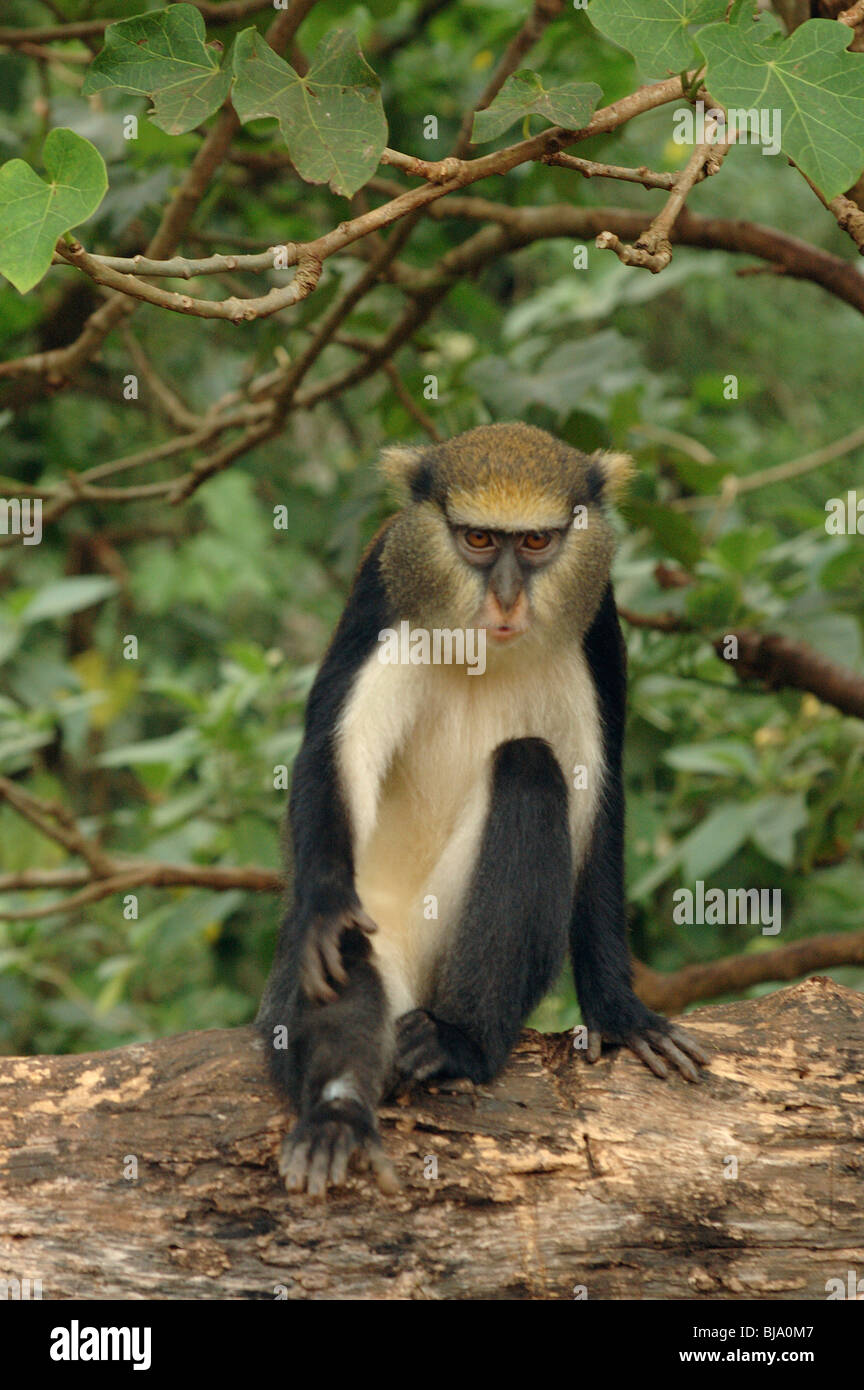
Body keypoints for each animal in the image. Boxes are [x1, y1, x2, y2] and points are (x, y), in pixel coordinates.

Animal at [257, 421, 709, 1197]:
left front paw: (621, 1014)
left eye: (535, 543)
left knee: (529, 767)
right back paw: (338, 1113)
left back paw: (456, 1043)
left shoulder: (599, 626)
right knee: (345, 965)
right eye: (475, 539)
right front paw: (324, 904)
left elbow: (600, 806)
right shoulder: (384, 592)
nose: (504, 599)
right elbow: (333, 759)